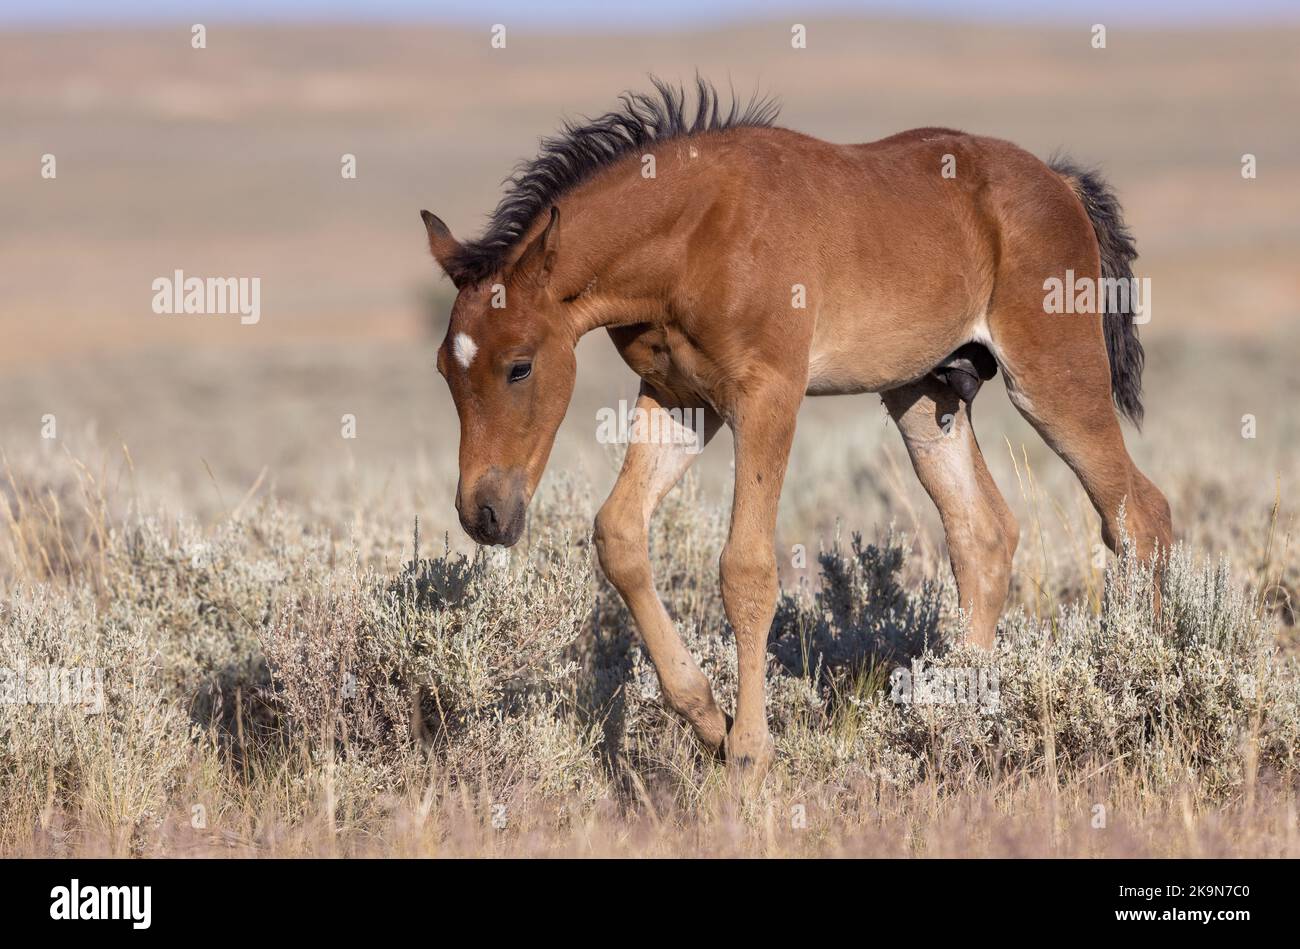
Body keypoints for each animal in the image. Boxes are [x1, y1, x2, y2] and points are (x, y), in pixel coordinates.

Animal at [420, 78, 1173, 772]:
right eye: (444, 369)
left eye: (519, 366)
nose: (484, 513)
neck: (693, 234)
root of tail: (1060, 183)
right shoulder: (679, 399)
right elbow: (619, 533)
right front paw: (706, 715)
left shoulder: (768, 397)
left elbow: (746, 569)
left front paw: (749, 751)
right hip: (924, 394)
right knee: (983, 534)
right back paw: (957, 716)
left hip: (1053, 379)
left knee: (1140, 515)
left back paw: (1154, 688)